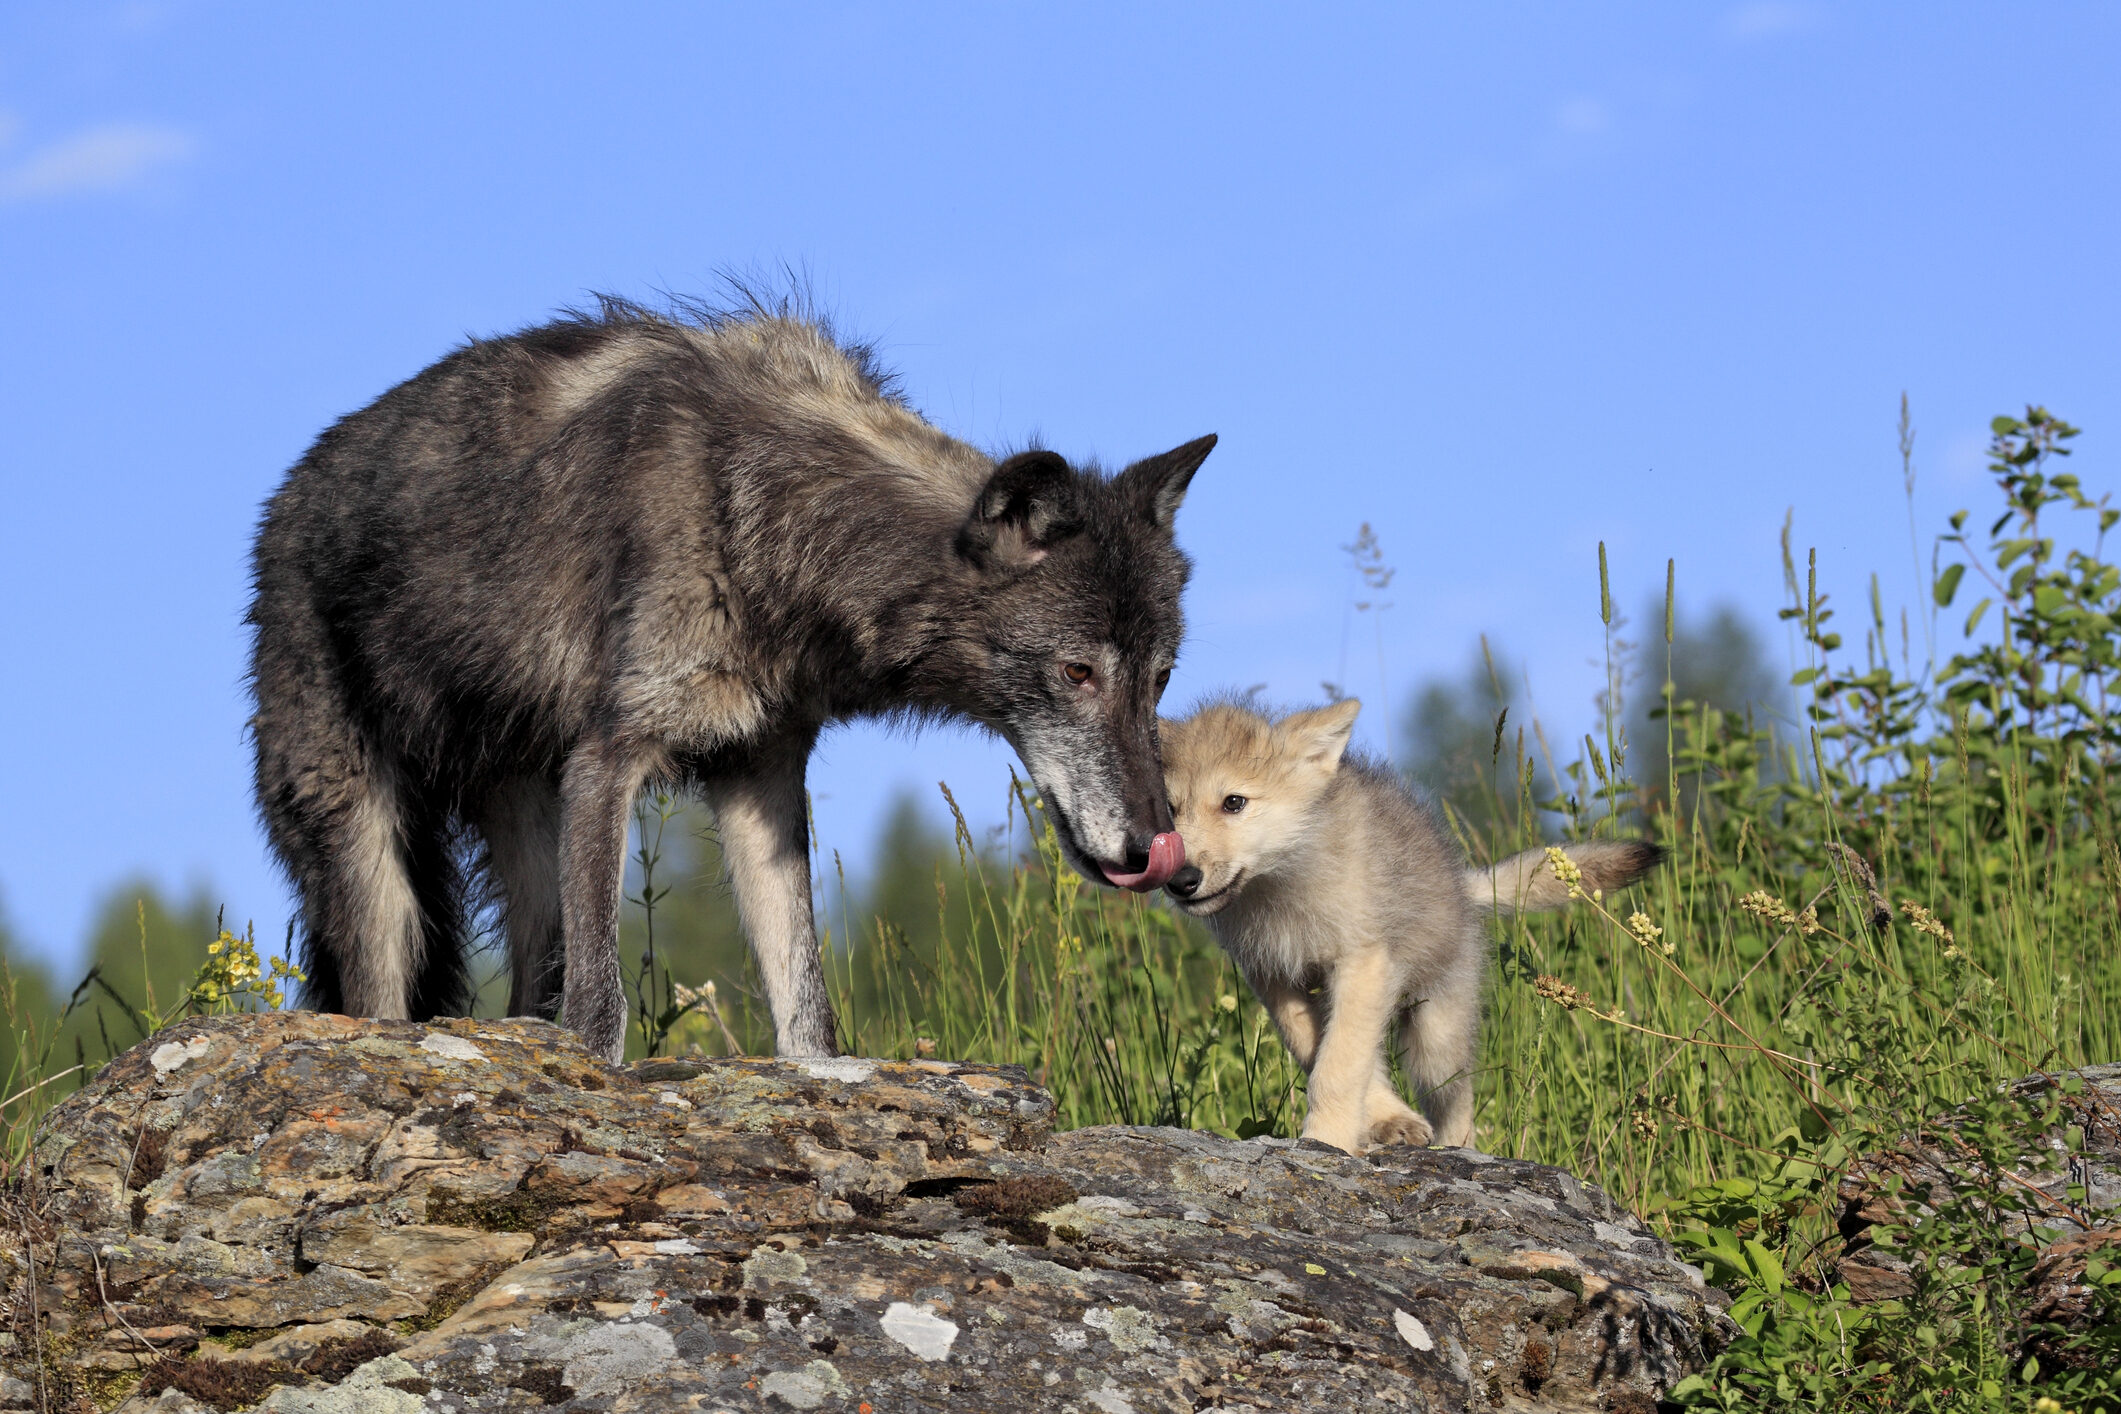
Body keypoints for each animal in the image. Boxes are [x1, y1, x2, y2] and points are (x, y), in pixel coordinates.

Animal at [248, 296, 1207, 1062]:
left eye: (1158, 680)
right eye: (1077, 672)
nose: (1158, 848)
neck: (760, 513)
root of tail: (286, 500)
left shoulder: (763, 777)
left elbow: (807, 1009)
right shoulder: (608, 760)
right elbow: (602, 1011)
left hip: (528, 839)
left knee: (528, 988)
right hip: (375, 865)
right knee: (378, 1004)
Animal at [1159, 698, 1662, 1153]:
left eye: (1234, 803)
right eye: (1170, 810)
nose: (1180, 880)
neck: (1282, 886)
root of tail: (1461, 884)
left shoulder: (1363, 963)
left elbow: (1338, 1066)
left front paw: (1325, 1142)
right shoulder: (1274, 979)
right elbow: (1322, 1054)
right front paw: (1377, 1122)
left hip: (1436, 1041)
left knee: (1457, 1105)